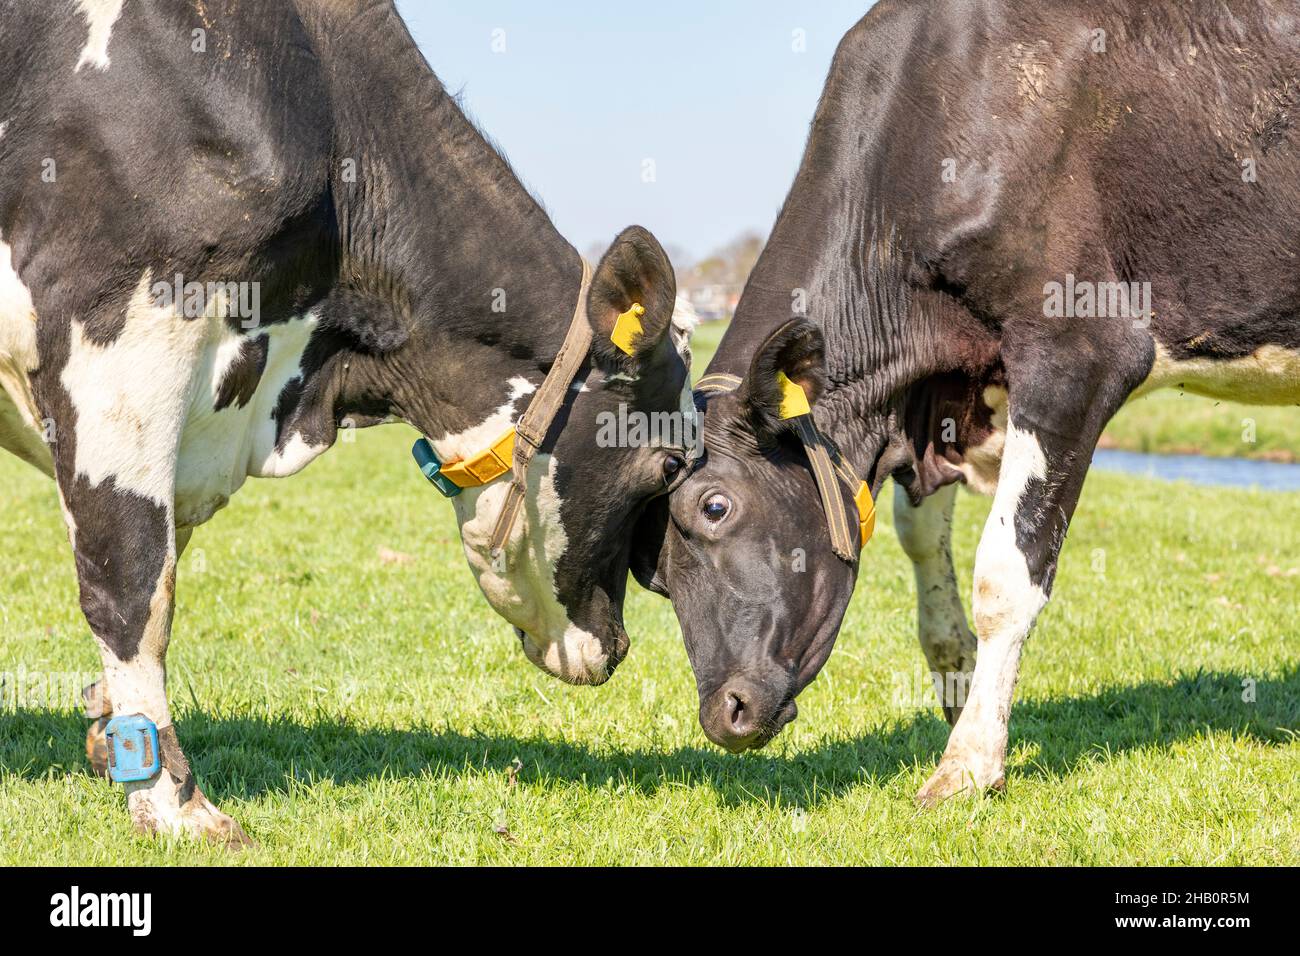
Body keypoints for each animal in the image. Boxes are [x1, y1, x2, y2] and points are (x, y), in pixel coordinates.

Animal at [0, 0, 697, 843]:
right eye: (666, 465)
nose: (619, 646)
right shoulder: (118, 332)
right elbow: (133, 579)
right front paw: (172, 800)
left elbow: (165, 558)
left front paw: (110, 735)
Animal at [634, 0, 1300, 806]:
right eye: (653, 574)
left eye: (715, 507)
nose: (723, 712)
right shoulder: (945, 395)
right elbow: (923, 542)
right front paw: (961, 697)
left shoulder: (1078, 351)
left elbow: (1004, 574)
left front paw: (969, 762)